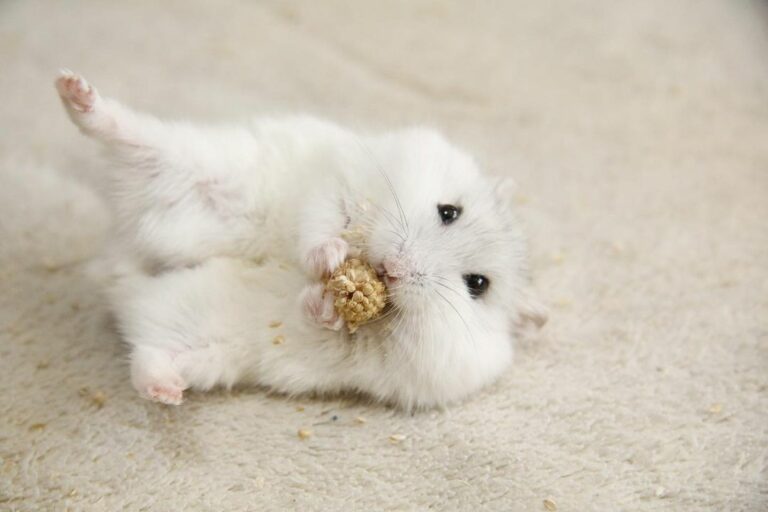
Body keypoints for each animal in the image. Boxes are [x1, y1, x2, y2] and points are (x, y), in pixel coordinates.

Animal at [55, 71, 547, 410]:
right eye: (449, 211)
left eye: (477, 285)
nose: (391, 270)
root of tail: (119, 269)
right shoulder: (339, 180)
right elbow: (320, 224)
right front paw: (330, 259)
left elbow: (325, 323)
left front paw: (327, 302)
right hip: (192, 170)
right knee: (123, 133)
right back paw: (74, 91)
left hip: (198, 342)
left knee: (146, 355)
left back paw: (167, 391)